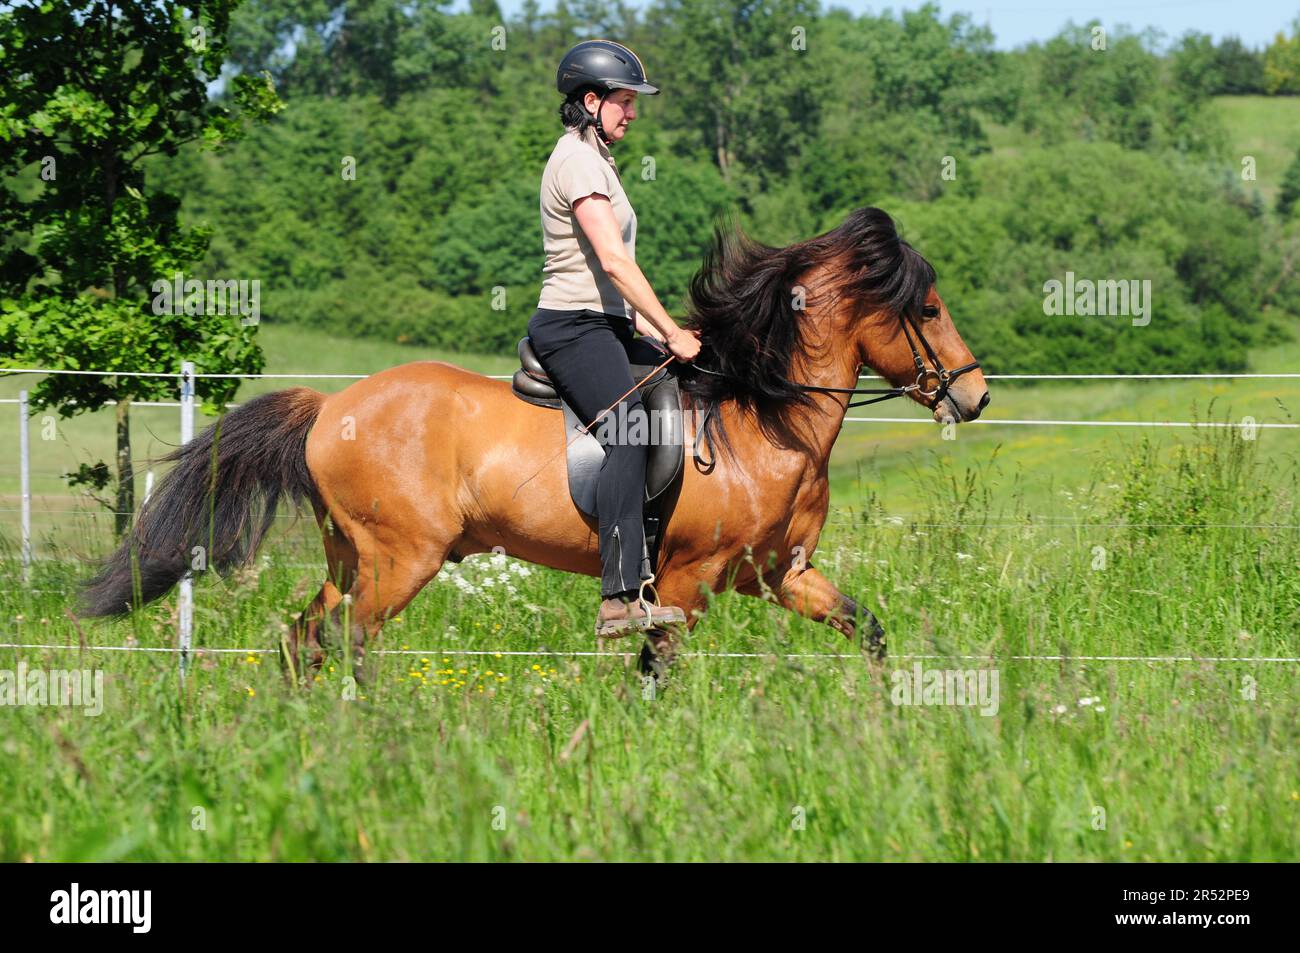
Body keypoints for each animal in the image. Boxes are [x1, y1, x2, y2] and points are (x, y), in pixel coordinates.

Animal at [76, 207, 988, 680]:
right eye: (929, 307)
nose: (975, 395)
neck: (763, 421)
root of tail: (333, 404)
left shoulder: (780, 575)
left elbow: (868, 630)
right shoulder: (683, 583)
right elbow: (656, 668)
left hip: (351, 556)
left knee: (308, 637)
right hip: (402, 557)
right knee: (355, 640)